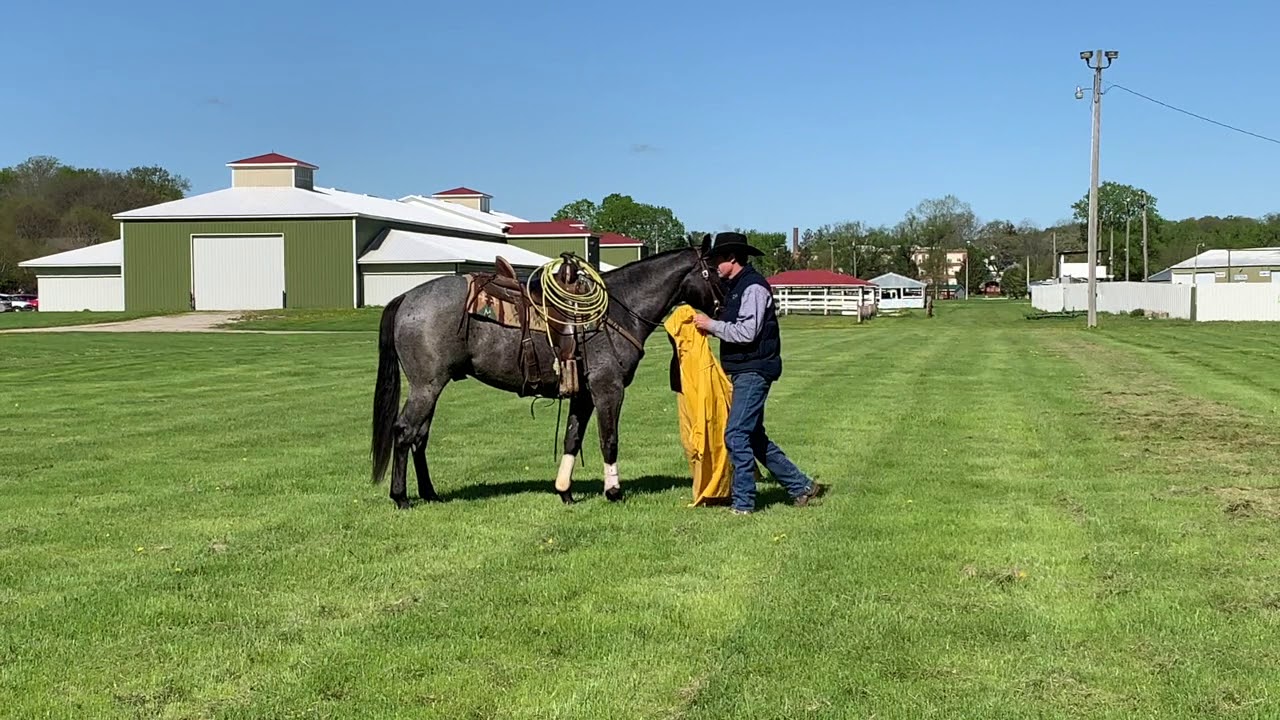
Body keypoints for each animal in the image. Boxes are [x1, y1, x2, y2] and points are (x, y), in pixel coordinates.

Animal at [370, 233, 724, 508]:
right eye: (716, 274)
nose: (723, 307)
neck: (618, 309)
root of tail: (406, 296)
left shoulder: (583, 395)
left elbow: (572, 439)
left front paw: (565, 492)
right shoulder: (608, 389)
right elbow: (609, 439)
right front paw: (613, 491)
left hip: (431, 387)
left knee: (419, 436)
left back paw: (429, 493)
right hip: (426, 386)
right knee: (404, 432)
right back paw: (401, 497)